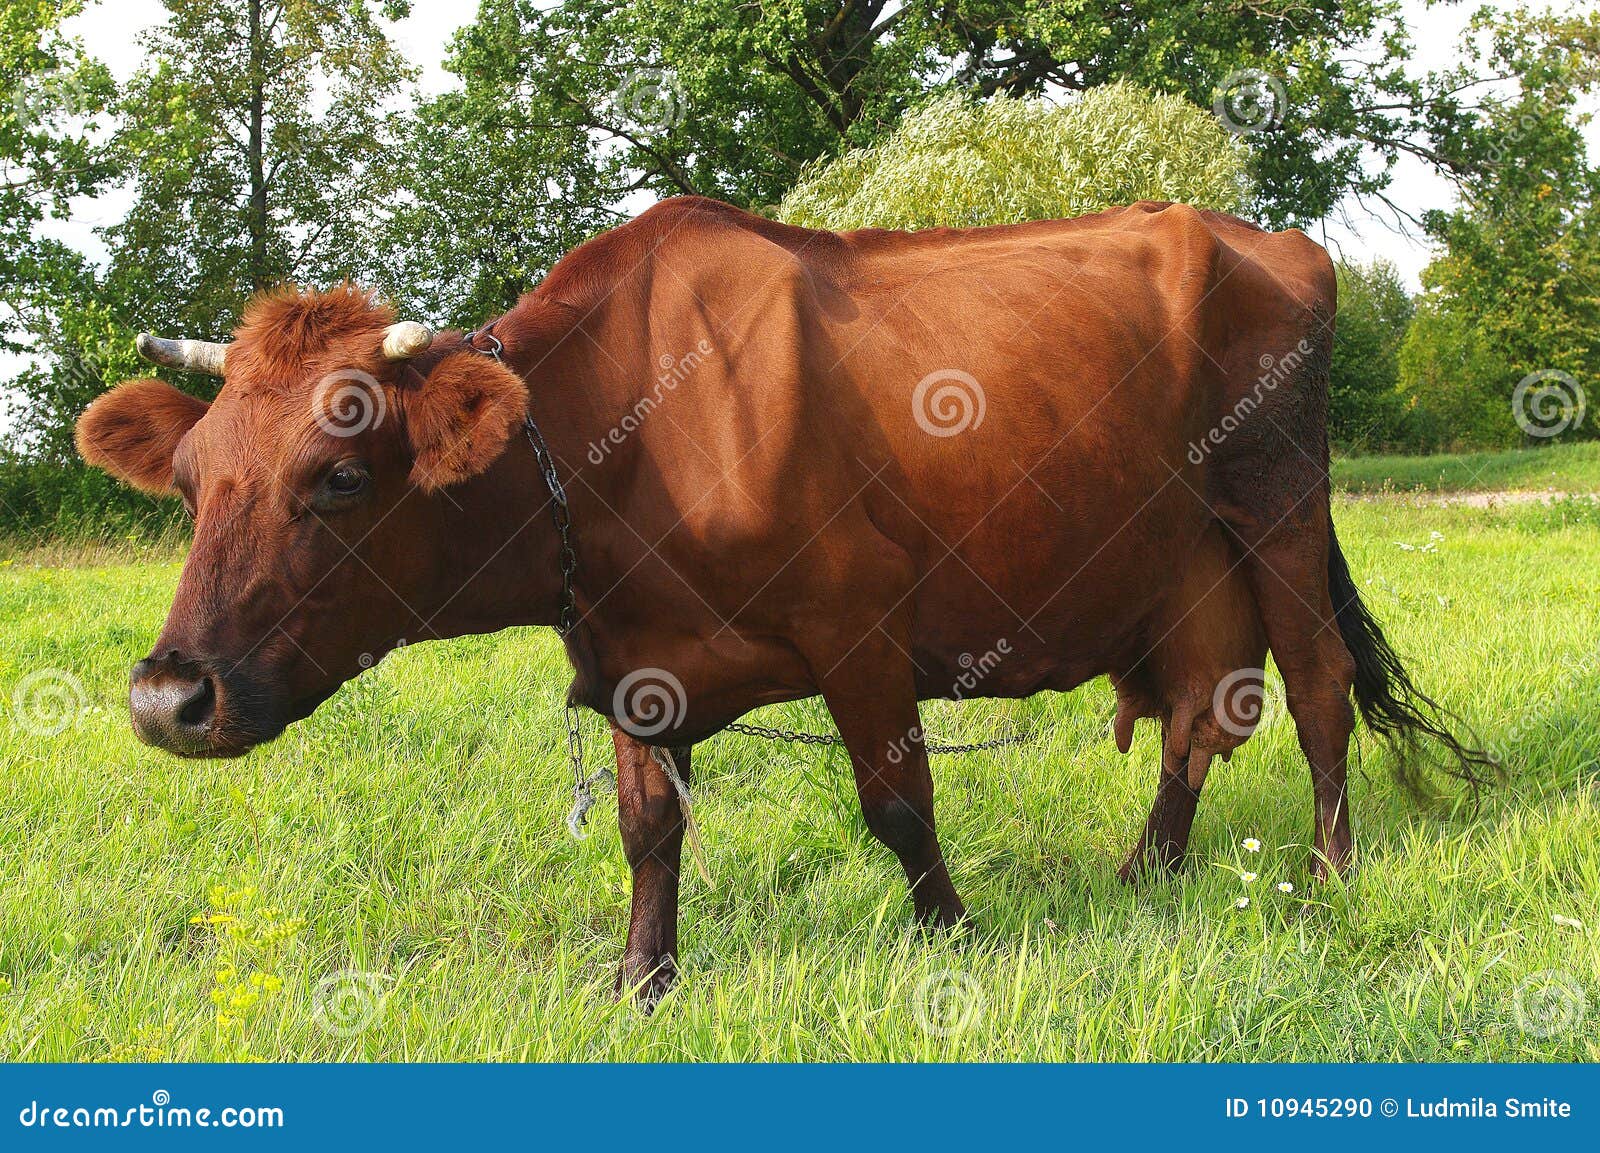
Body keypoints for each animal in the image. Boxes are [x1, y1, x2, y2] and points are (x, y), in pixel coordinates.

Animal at [75, 197, 1484, 1002]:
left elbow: (899, 806)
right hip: (1179, 558)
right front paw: (642, 980)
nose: (166, 697)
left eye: (341, 474)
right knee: (1198, 711)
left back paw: (1331, 872)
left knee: (1315, 692)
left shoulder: (858, 622)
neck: (612, 434)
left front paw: (955, 942)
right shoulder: (632, 658)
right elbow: (649, 830)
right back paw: (1151, 870)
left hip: (1278, 507)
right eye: (190, 483)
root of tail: (1260, 236)